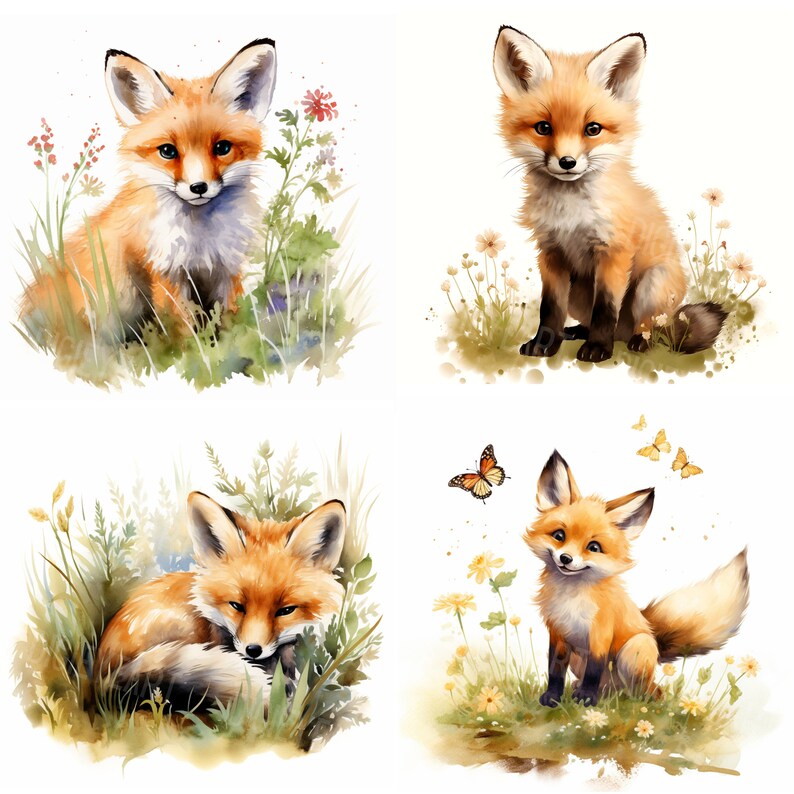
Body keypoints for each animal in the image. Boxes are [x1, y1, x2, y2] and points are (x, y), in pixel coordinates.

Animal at [21, 39, 277, 339]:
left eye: (222, 148)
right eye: (168, 151)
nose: (198, 187)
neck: (200, 240)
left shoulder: (226, 267)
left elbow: (231, 323)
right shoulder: (166, 271)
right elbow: (184, 331)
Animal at [493, 28, 727, 362]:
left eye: (592, 129)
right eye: (543, 127)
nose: (567, 162)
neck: (571, 212)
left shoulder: (614, 251)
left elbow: (605, 308)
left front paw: (598, 350)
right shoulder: (550, 253)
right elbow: (550, 309)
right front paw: (544, 343)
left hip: (651, 286)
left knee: (646, 327)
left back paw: (637, 341)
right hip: (578, 291)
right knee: (596, 321)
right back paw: (580, 331)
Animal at [523, 450, 748, 707]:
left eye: (593, 547)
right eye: (559, 536)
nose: (565, 558)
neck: (571, 598)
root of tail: (651, 633)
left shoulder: (601, 634)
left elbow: (594, 669)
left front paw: (587, 698)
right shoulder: (558, 632)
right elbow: (555, 668)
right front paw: (553, 697)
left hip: (634, 650)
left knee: (647, 692)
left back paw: (634, 701)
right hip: (583, 660)